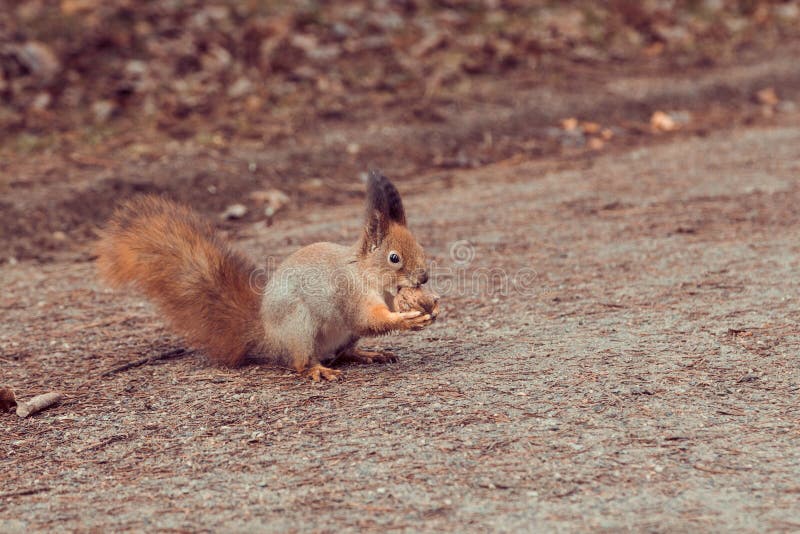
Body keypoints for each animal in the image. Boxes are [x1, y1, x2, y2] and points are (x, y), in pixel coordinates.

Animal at [95, 171, 435, 381]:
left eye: (420, 246)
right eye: (394, 258)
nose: (424, 277)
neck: (367, 273)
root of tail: (269, 336)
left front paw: (429, 306)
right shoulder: (349, 294)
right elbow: (369, 318)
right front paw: (406, 319)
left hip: (339, 336)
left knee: (343, 352)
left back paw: (366, 353)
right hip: (299, 324)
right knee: (301, 362)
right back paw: (317, 370)